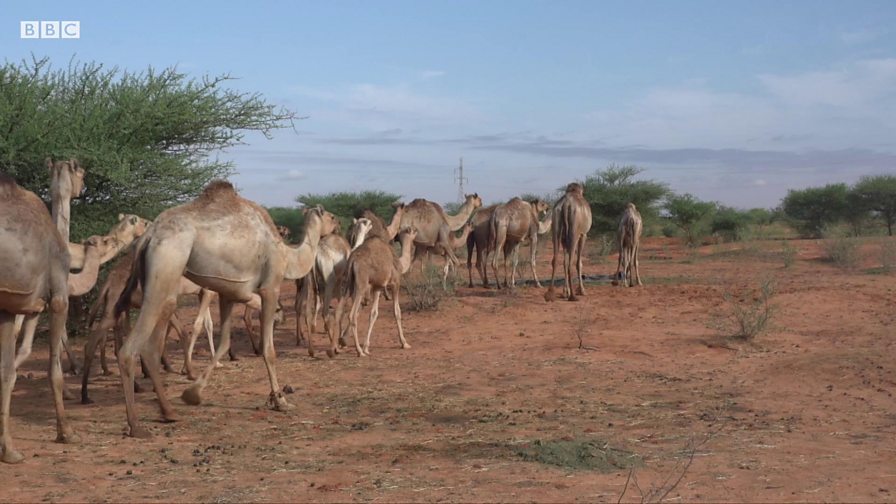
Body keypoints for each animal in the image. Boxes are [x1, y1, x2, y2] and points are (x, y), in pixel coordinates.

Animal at [0, 173, 78, 464]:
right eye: (80, 174)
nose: (81, 188)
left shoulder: (7, 308)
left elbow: (6, 372)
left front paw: (8, 450)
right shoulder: (59, 297)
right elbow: (55, 371)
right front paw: (66, 432)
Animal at [114, 181, 338, 438]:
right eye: (331, 216)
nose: (338, 225)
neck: (287, 255)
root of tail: (147, 237)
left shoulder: (228, 293)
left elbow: (225, 343)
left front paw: (192, 394)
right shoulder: (270, 287)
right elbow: (269, 350)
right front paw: (280, 400)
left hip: (161, 282)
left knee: (151, 347)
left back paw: (169, 412)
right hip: (165, 267)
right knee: (130, 349)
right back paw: (136, 425)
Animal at [331, 227, 417, 357]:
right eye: (413, 231)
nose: (417, 232)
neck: (401, 263)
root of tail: (353, 260)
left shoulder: (377, 287)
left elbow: (374, 313)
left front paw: (366, 347)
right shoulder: (395, 283)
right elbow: (397, 312)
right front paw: (404, 343)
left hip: (347, 284)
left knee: (339, 311)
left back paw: (335, 349)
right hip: (361, 285)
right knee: (352, 315)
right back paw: (359, 351)